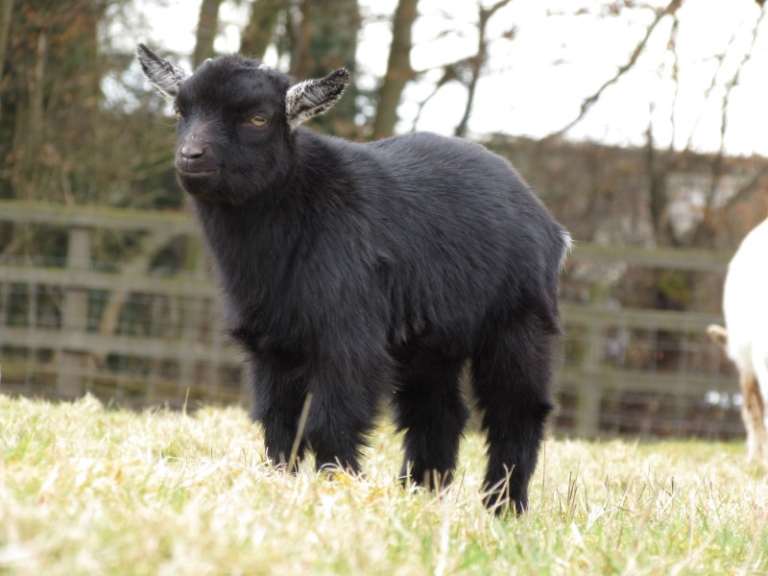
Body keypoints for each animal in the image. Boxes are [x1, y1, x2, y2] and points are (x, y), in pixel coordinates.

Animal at [137, 44, 571, 514]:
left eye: (258, 118)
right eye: (180, 109)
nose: (190, 156)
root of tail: (550, 225)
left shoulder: (349, 338)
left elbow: (331, 421)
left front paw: (336, 487)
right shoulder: (271, 344)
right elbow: (278, 422)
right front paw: (281, 484)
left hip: (520, 323)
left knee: (517, 409)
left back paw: (504, 507)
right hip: (433, 340)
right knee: (438, 412)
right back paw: (420, 494)